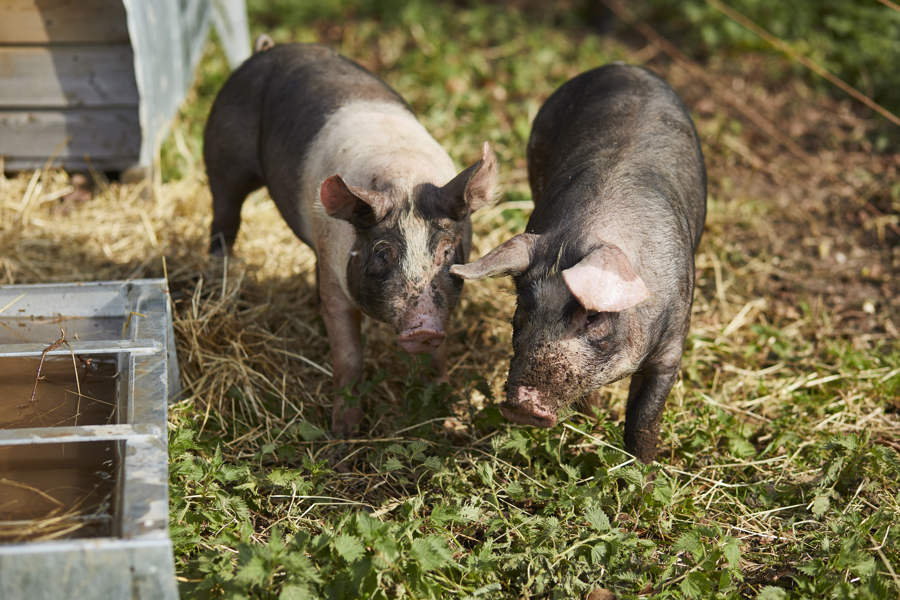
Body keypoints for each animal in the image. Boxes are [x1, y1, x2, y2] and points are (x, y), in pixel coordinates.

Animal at [204, 38, 498, 434]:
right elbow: (348, 358)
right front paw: (343, 433)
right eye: (382, 253)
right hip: (223, 159)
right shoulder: (336, 281)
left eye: (448, 251)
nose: (422, 329)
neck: (404, 179)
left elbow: (437, 359)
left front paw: (444, 414)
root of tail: (267, 49)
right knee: (224, 217)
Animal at [451, 64, 706, 463]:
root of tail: (619, 66)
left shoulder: (672, 343)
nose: (521, 405)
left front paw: (644, 470)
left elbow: (644, 421)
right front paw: (591, 425)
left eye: (593, 316)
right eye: (523, 306)